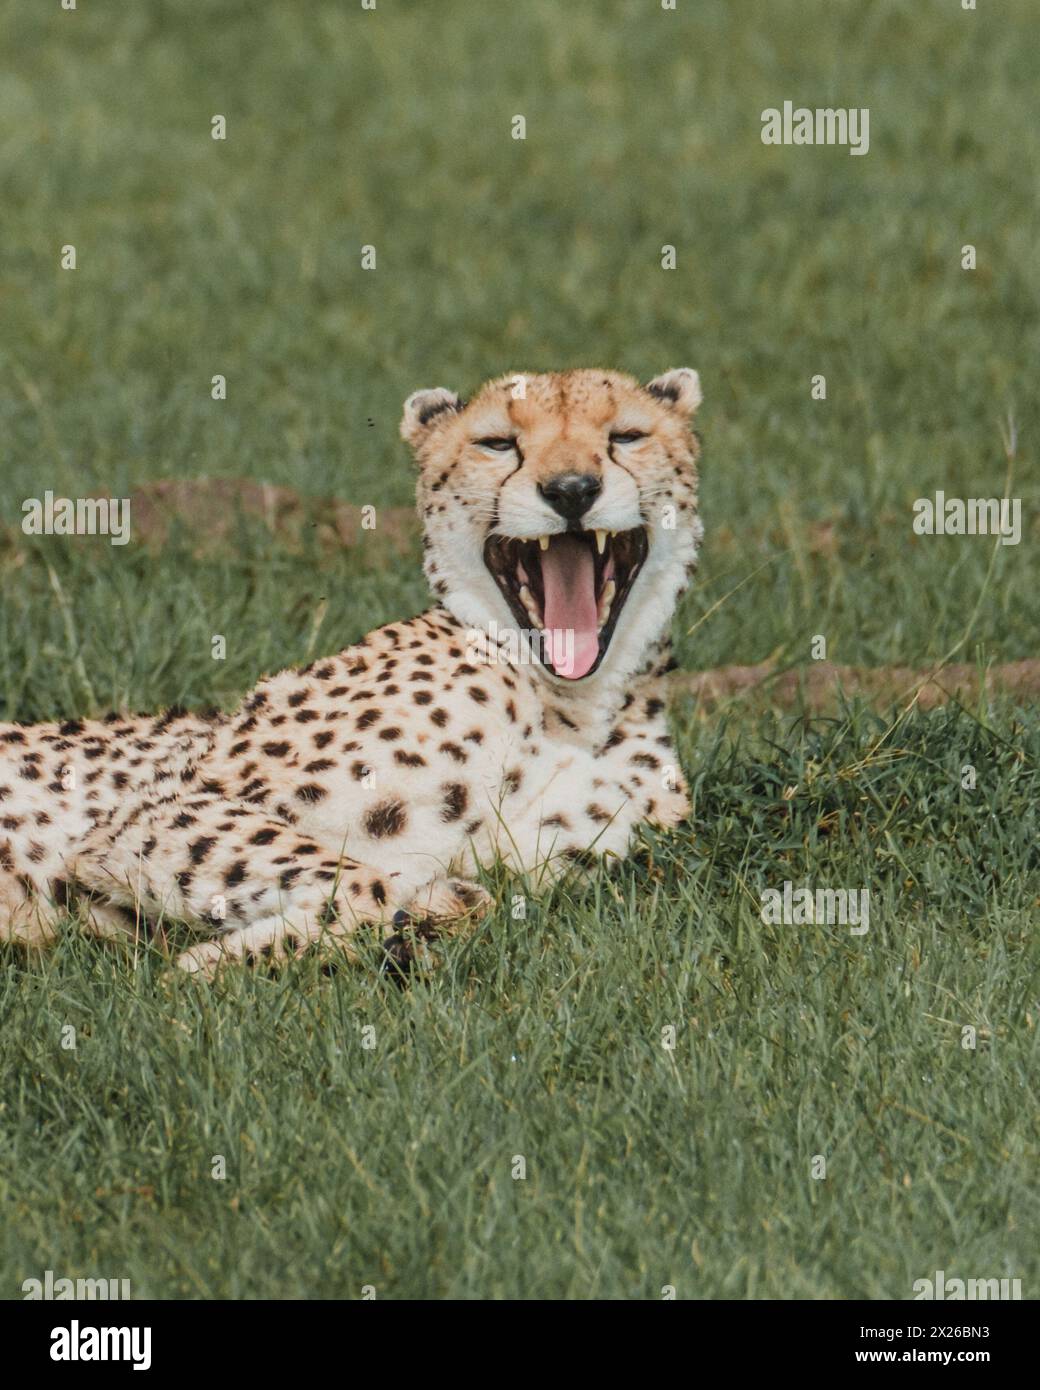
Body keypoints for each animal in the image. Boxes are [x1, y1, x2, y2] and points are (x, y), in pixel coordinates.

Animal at [0, 366, 703, 977]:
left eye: (626, 437)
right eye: (498, 443)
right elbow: (363, 881)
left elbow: (454, 895)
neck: (569, 703)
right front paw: (207, 963)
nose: (571, 491)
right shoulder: (155, 812)